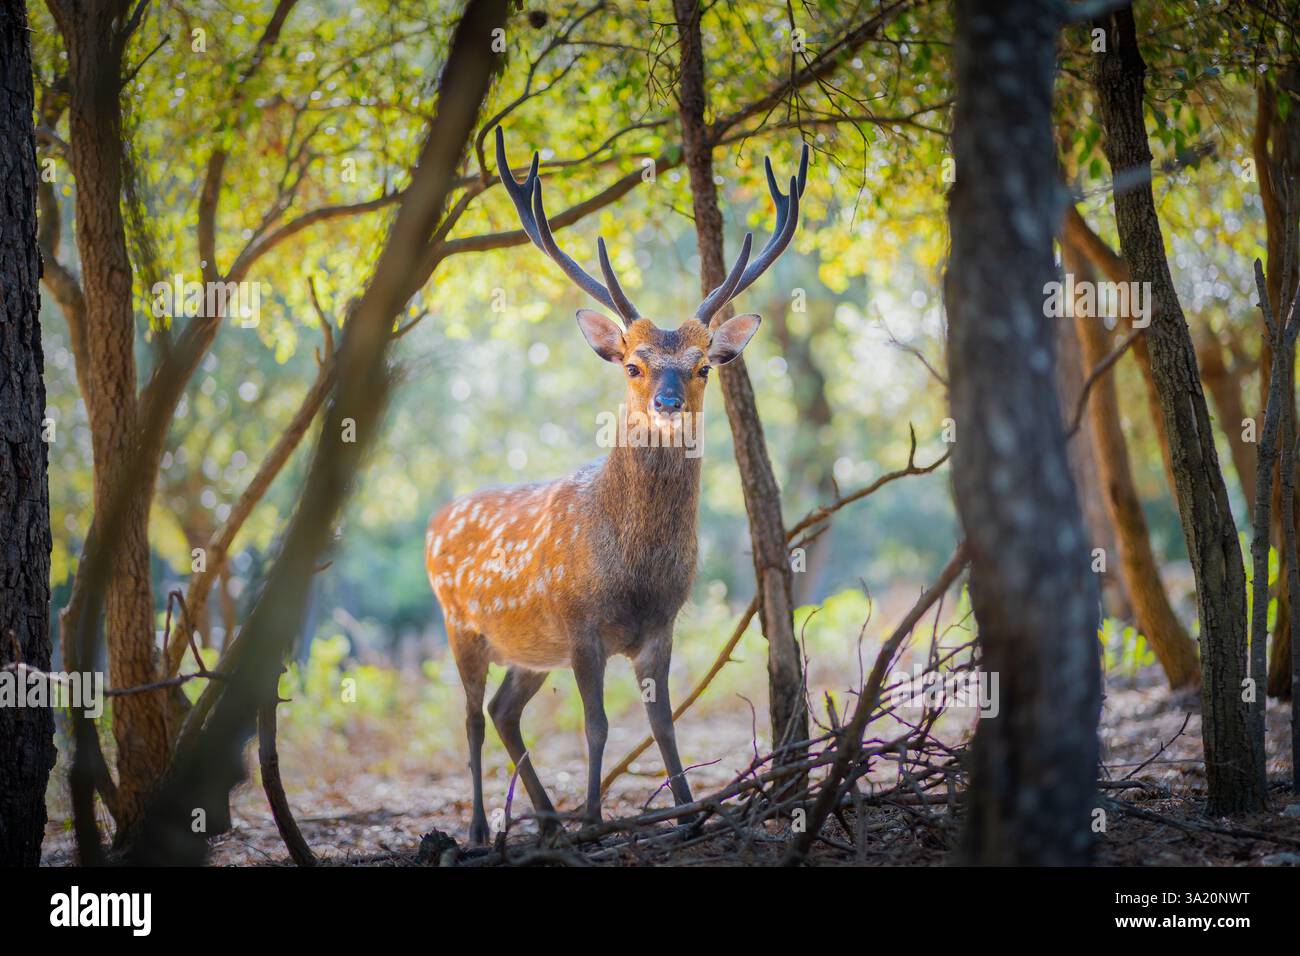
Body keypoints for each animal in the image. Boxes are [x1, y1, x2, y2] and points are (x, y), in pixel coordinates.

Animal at [425, 126, 807, 845]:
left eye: (703, 366)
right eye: (633, 363)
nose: (667, 402)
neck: (633, 569)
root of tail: (434, 521)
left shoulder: (662, 626)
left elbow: (663, 722)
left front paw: (686, 813)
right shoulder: (581, 624)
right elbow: (596, 725)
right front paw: (597, 820)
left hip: (527, 649)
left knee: (502, 710)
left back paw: (547, 820)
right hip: (461, 624)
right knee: (468, 718)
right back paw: (484, 829)